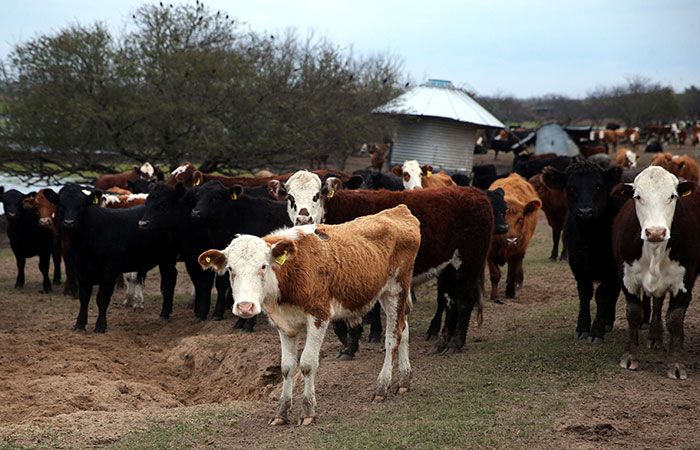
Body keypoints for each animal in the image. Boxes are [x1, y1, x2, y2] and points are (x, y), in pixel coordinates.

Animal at [42, 184, 178, 332]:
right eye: (61, 204)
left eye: (82, 205)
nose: (69, 222)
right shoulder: (82, 270)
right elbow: (84, 298)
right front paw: (79, 324)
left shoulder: (109, 271)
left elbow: (102, 299)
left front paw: (100, 326)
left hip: (169, 257)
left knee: (169, 281)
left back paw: (164, 313)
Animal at [199, 205, 421, 425]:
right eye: (230, 268)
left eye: (263, 266)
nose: (245, 306)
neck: (291, 272)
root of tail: (398, 210)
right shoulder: (284, 324)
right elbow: (287, 367)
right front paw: (281, 412)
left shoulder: (318, 316)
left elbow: (306, 364)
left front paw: (307, 411)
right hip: (389, 295)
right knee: (403, 329)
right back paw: (404, 380)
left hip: (396, 290)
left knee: (393, 337)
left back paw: (382, 387)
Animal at [276, 170, 494, 354]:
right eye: (290, 197)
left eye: (316, 195)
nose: (303, 219)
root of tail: (476, 193)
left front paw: (351, 347)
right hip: (449, 267)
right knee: (451, 302)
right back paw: (442, 343)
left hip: (468, 262)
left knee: (464, 301)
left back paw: (455, 344)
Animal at [543, 161, 624, 343]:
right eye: (571, 187)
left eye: (598, 186)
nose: (585, 212)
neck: (590, 239)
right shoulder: (577, 265)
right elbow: (585, 293)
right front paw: (582, 328)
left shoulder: (612, 269)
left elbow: (602, 295)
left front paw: (596, 332)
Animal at [611, 166, 699, 379]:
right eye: (638, 196)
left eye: (672, 196)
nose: (656, 232)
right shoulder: (627, 278)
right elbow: (634, 313)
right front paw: (629, 357)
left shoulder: (684, 282)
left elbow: (675, 319)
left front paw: (676, 364)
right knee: (658, 301)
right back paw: (655, 337)